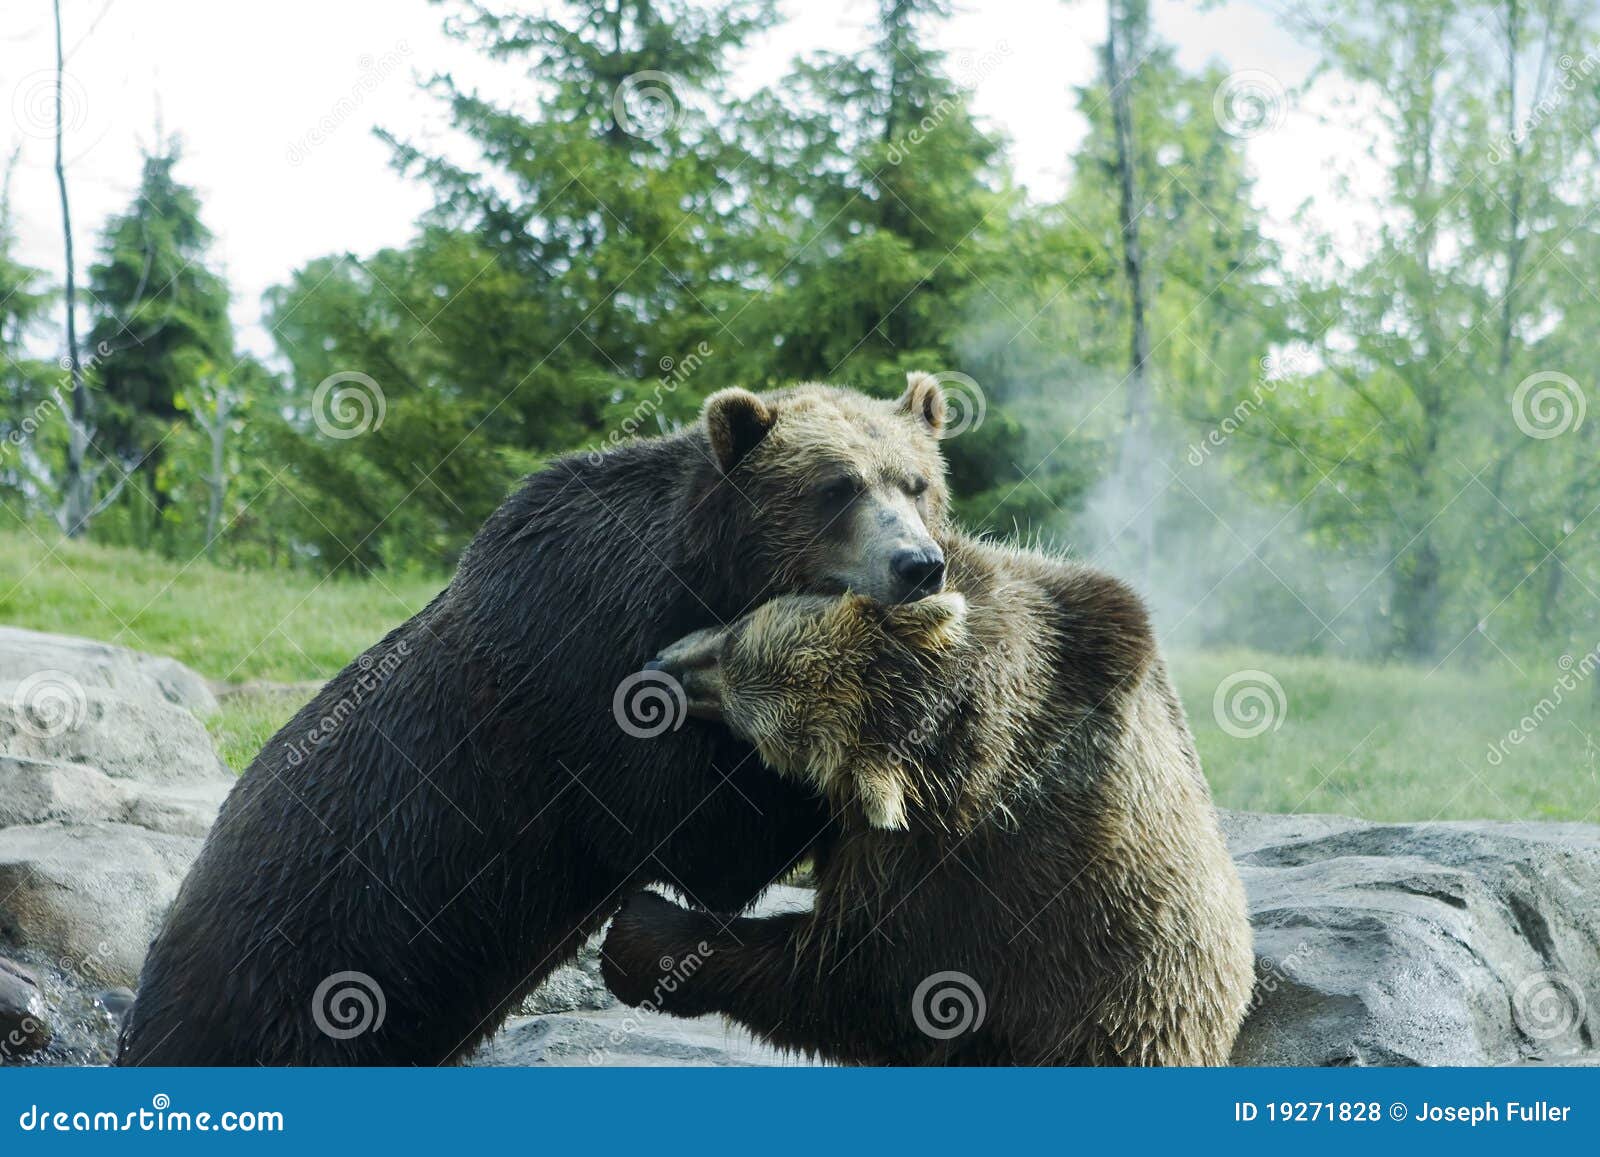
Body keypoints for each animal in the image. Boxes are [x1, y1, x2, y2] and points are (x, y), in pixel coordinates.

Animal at [117, 377, 955, 1066]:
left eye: (918, 483)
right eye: (837, 486)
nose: (919, 563)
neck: (701, 577)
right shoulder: (582, 671)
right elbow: (703, 839)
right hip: (295, 968)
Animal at [601, 496, 1255, 1065]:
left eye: (752, 725)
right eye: (737, 636)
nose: (662, 668)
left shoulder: (965, 869)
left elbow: (857, 982)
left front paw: (641, 936)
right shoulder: (1076, 607)